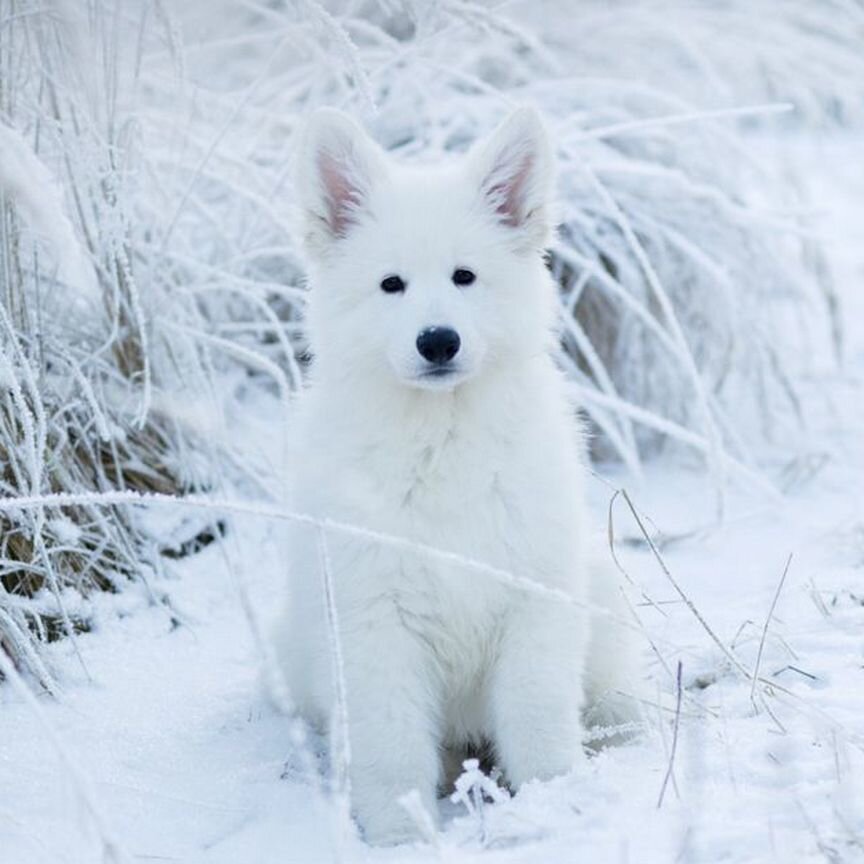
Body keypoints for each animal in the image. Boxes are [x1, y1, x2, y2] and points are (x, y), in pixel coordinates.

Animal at [276, 106, 640, 844]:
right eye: (391, 285)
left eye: (465, 276)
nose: (438, 341)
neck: (440, 441)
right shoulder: (372, 619)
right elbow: (390, 743)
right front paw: (400, 835)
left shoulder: (535, 599)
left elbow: (536, 717)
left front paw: (556, 803)